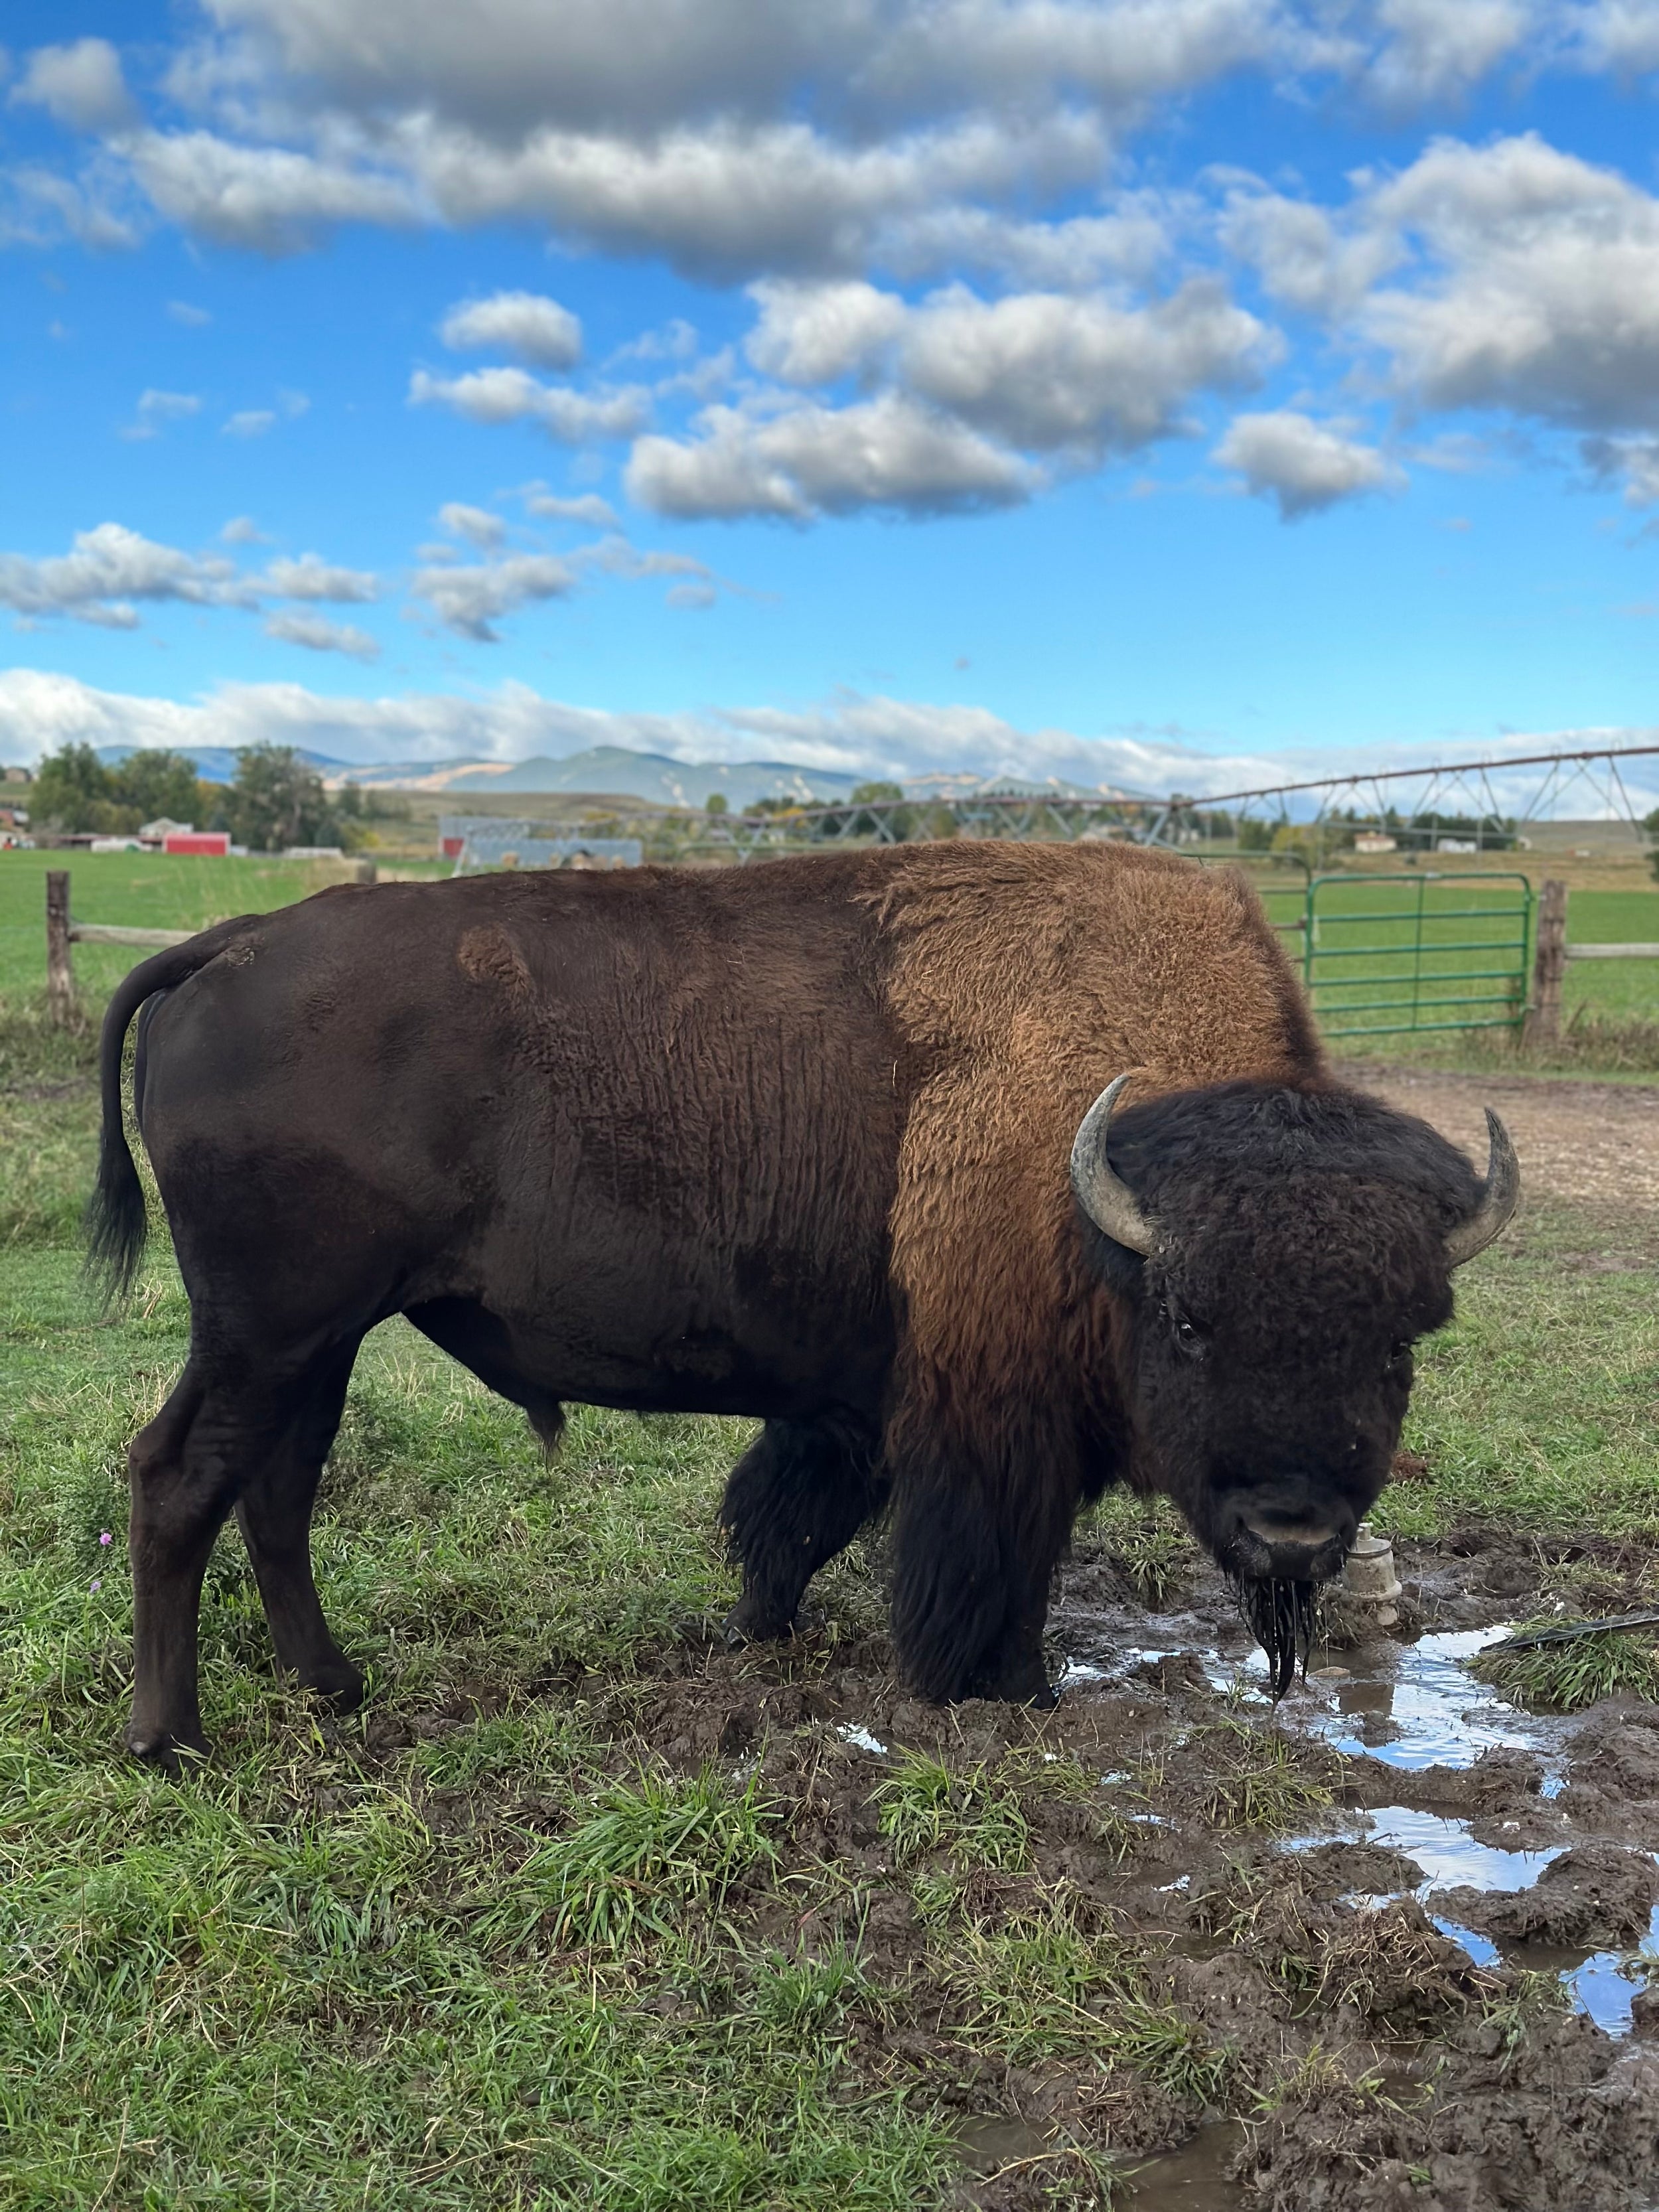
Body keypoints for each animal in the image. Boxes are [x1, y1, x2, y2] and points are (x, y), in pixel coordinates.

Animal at [88, 842, 1517, 1763]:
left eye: (1404, 1337)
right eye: (1189, 1318)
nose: (1292, 1533)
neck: (1100, 1158)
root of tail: (229, 947)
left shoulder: (865, 1403)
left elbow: (796, 1516)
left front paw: (758, 1630)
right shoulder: (993, 1415)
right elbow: (994, 1563)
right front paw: (1011, 1693)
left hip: (318, 1337)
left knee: (277, 1485)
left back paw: (333, 1687)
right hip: (268, 1329)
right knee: (179, 1477)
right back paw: (172, 1740)